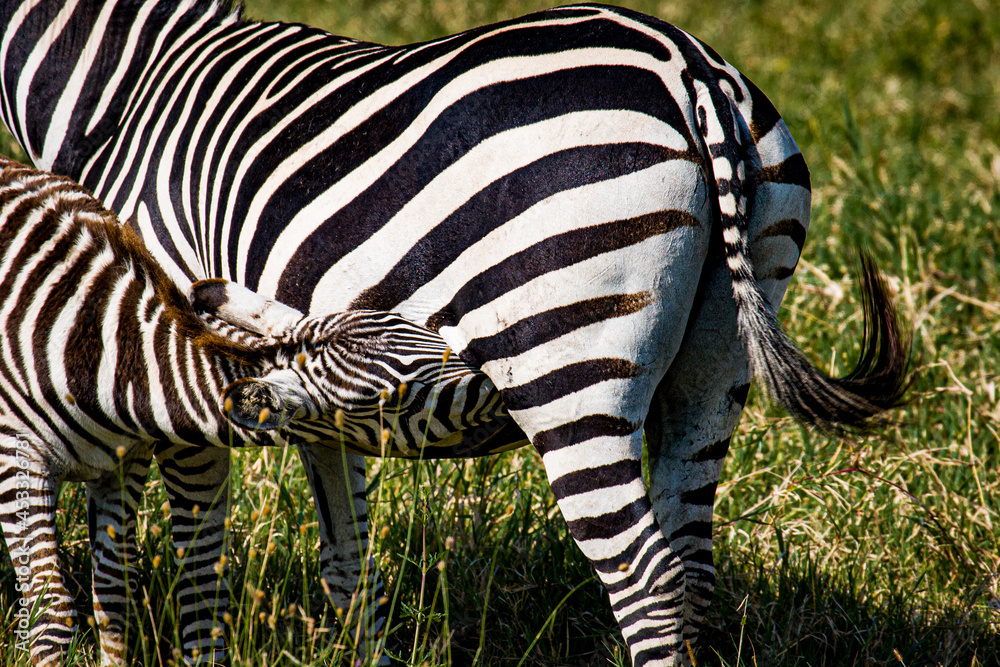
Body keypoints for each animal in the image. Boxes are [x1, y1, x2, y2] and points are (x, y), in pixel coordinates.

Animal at [0, 156, 504, 666]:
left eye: (414, 326)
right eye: (394, 399)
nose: (498, 383)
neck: (110, 362)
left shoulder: (124, 465)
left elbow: (115, 586)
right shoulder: (17, 463)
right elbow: (52, 612)